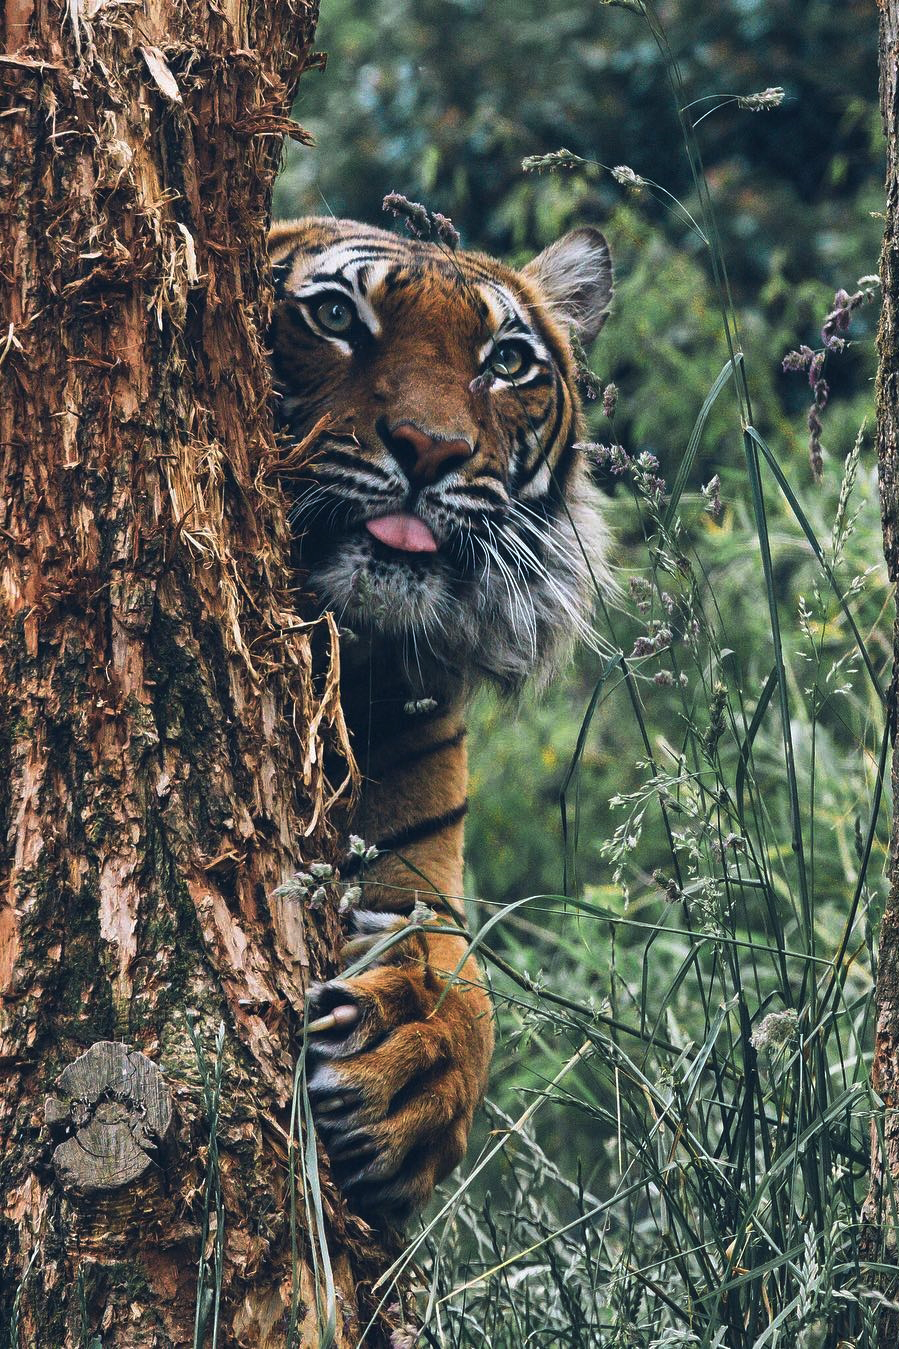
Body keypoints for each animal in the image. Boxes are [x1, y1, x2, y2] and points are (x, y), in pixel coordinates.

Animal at [268, 214, 613, 1224]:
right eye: (334, 315)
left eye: (505, 360)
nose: (428, 449)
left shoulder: (418, 881)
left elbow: (467, 981)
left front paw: (415, 1066)